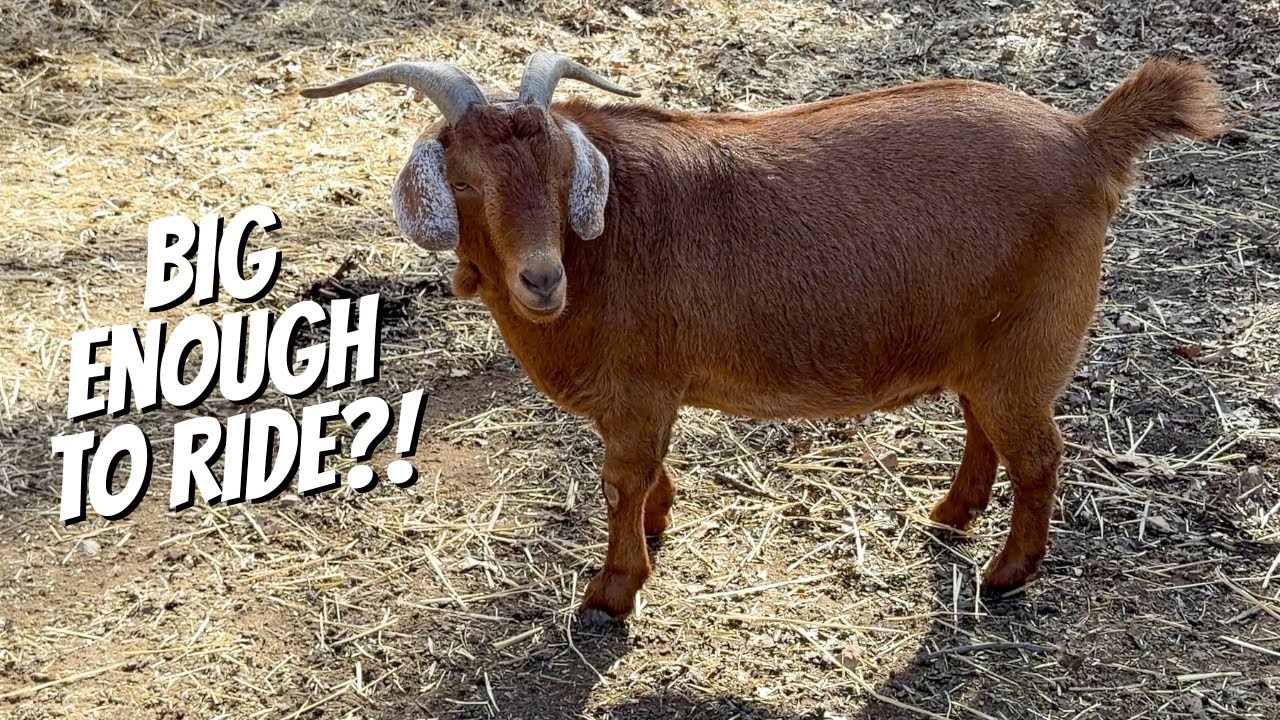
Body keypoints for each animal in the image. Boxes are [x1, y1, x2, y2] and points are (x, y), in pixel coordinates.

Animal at [301, 53, 1223, 621]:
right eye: (464, 181)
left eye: (565, 173)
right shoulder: (651, 391)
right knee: (982, 431)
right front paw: (659, 528)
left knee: (1036, 454)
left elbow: (620, 480)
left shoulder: (636, 389)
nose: (542, 280)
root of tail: (1088, 137)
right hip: (982, 345)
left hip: (1028, 347)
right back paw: (950, 516)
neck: (600, 249)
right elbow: (648, 472)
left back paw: (1005, 574)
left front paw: (612, 592)